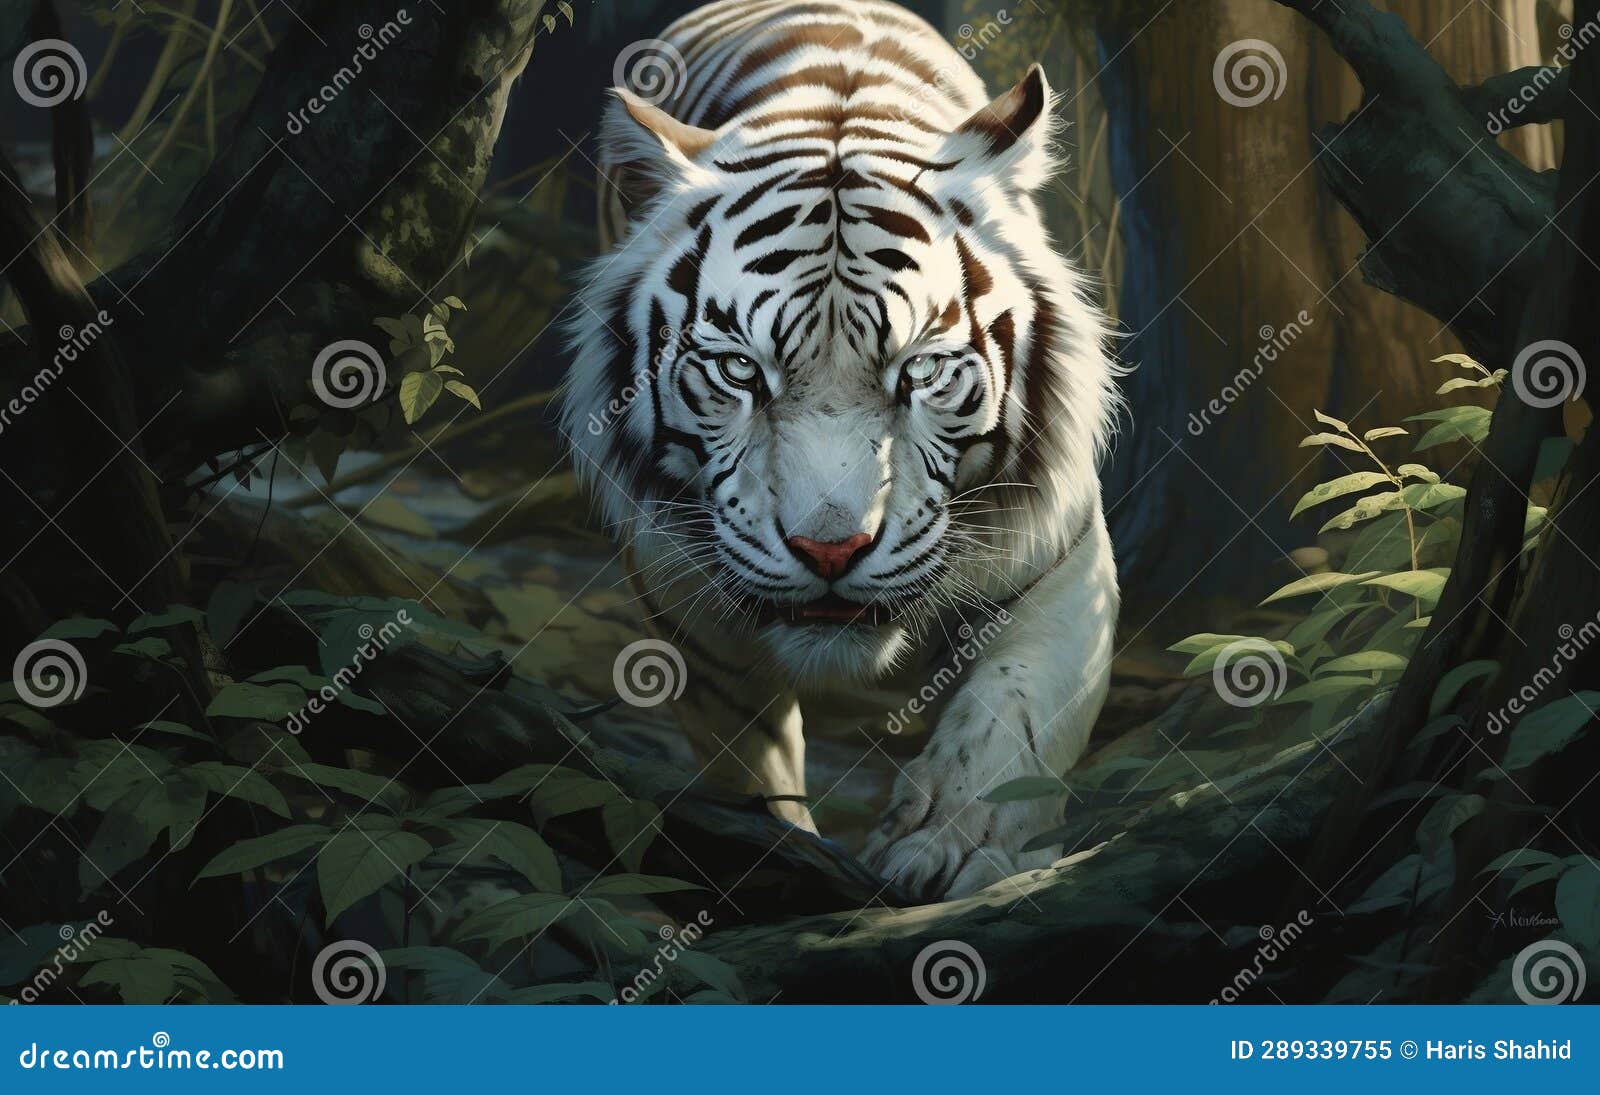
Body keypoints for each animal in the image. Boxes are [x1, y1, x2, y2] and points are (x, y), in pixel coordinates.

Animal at [561, 0, 1120, 900]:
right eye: (740, 370)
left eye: (920, 370)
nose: (831, 549)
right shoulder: (685, 604)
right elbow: (752, 767)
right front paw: (780, 855)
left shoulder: (1061, 557)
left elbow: (1017, 711)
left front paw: (953, 845)